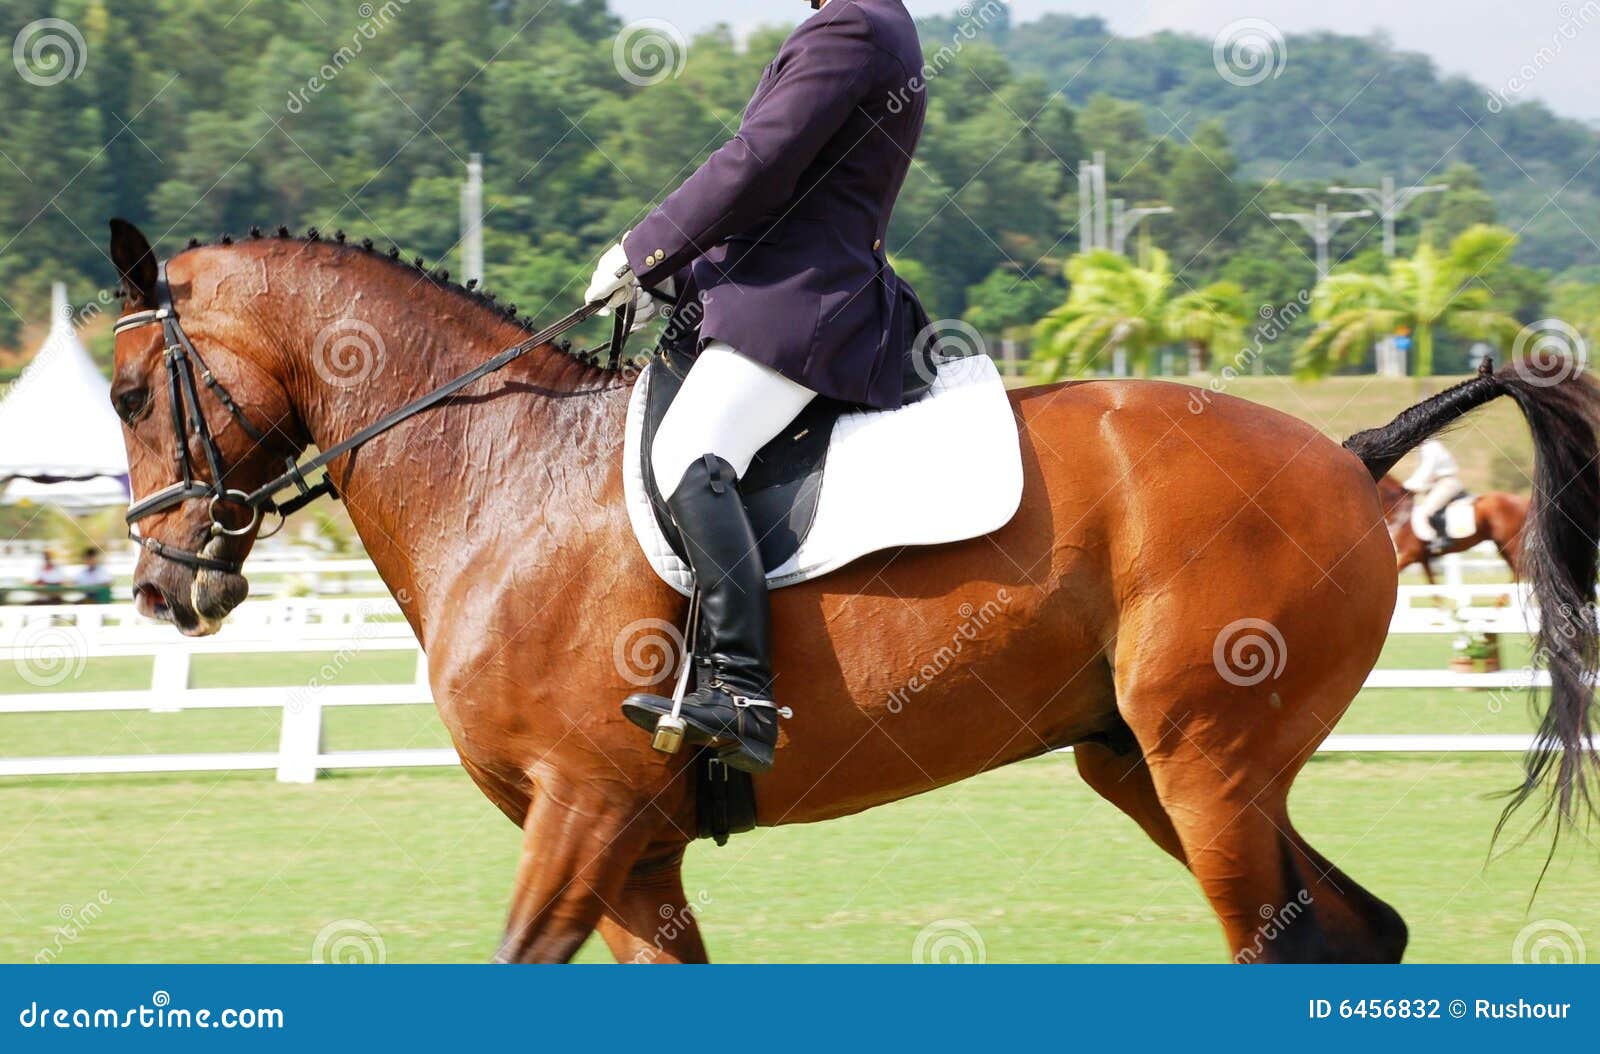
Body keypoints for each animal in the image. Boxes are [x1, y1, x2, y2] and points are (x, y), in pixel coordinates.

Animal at [1376, 474, 1530, 582]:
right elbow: (1434, 590)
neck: (1401, 513)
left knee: (1520, 573)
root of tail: (1524, 501)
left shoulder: (1409, 554)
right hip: (1502, 545)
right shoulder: (1422, 558)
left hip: (1512, 543)